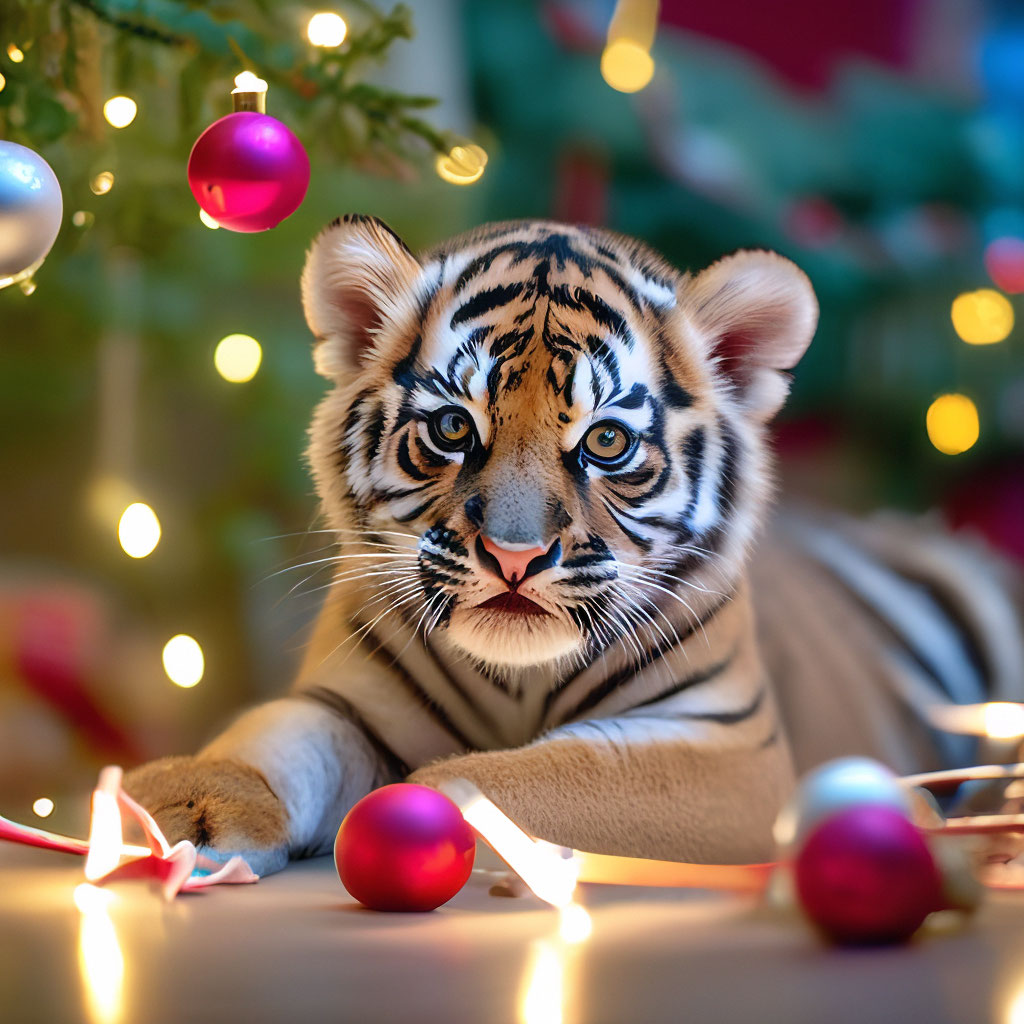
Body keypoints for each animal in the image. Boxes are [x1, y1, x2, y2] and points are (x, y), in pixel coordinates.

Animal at [123, 216, 1024, 878]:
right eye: (453, 429)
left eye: (608, 442)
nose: (513, 557)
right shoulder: (340, 701)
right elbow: (273, 738)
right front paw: (183, 806)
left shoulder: (728, 752)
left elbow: (526, 776)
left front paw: (415, 808)